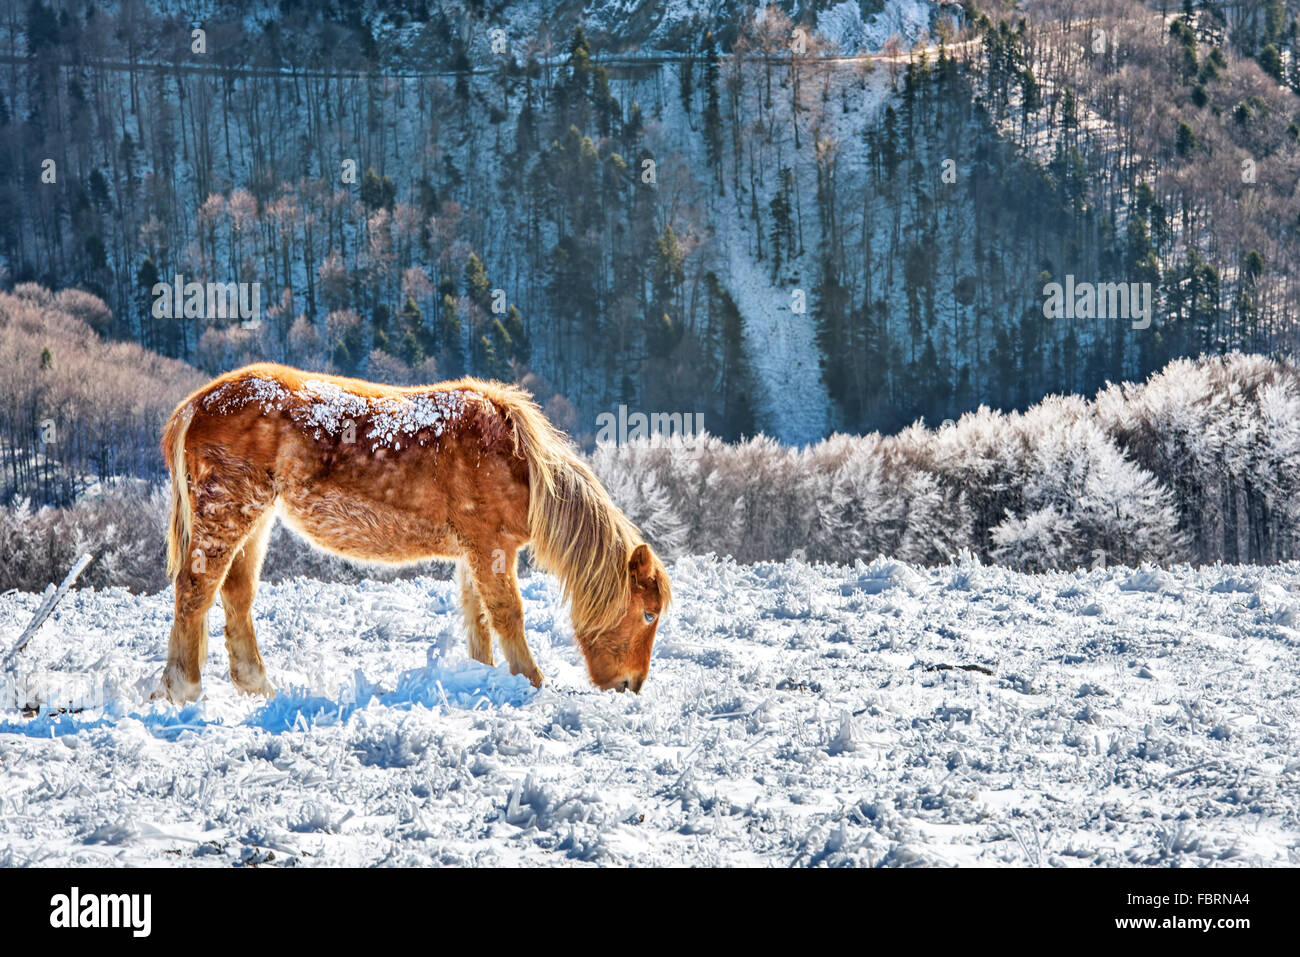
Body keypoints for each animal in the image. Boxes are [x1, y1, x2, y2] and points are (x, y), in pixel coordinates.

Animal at [156, 363, 670, 703]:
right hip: (226, 512)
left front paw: (482, 675)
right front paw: (531, 682)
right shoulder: (491, 548)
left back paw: (258, 686)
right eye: (647, 614)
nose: (632, 686)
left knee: (236, 596)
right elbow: (508, 615)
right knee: (195, 590)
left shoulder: (473, 552)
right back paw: (182, 690)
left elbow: (477, 619)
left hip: (256, 519)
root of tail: (196, 405)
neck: (518, 461)